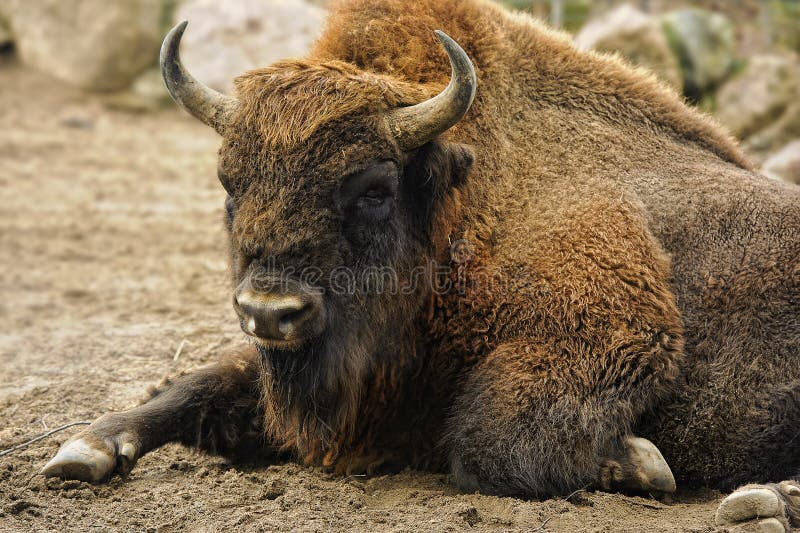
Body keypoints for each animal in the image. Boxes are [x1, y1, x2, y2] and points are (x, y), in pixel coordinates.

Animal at [43, 0, 800, 529]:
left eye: (375, 188)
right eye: (230, 185)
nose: (270, 310)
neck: (462, 206)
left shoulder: (613, 329)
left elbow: (490, 441)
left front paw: (643, 465)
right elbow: (196, 384)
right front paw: (84, 450)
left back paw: (763, 500)